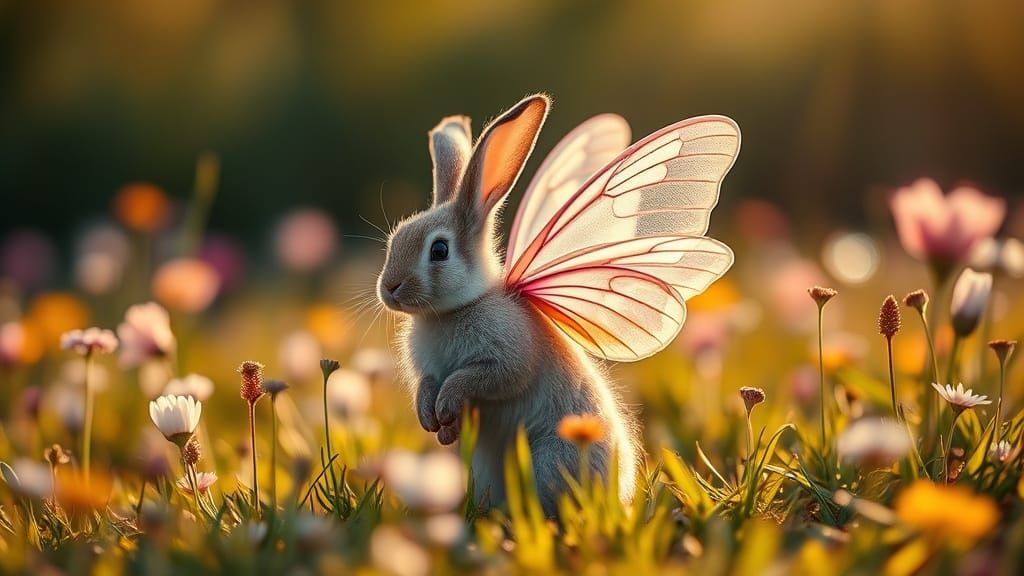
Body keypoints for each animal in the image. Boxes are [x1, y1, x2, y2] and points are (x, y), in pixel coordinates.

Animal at [377, 95, 640, 516]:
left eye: (439, 250)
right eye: (394, 240)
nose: (389, 289)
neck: (452, 311)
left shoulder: (504, 359)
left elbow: (479, 378)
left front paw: (445, 408)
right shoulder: (428, 371)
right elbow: (427, 385)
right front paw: (433, 421)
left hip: (551, 459)